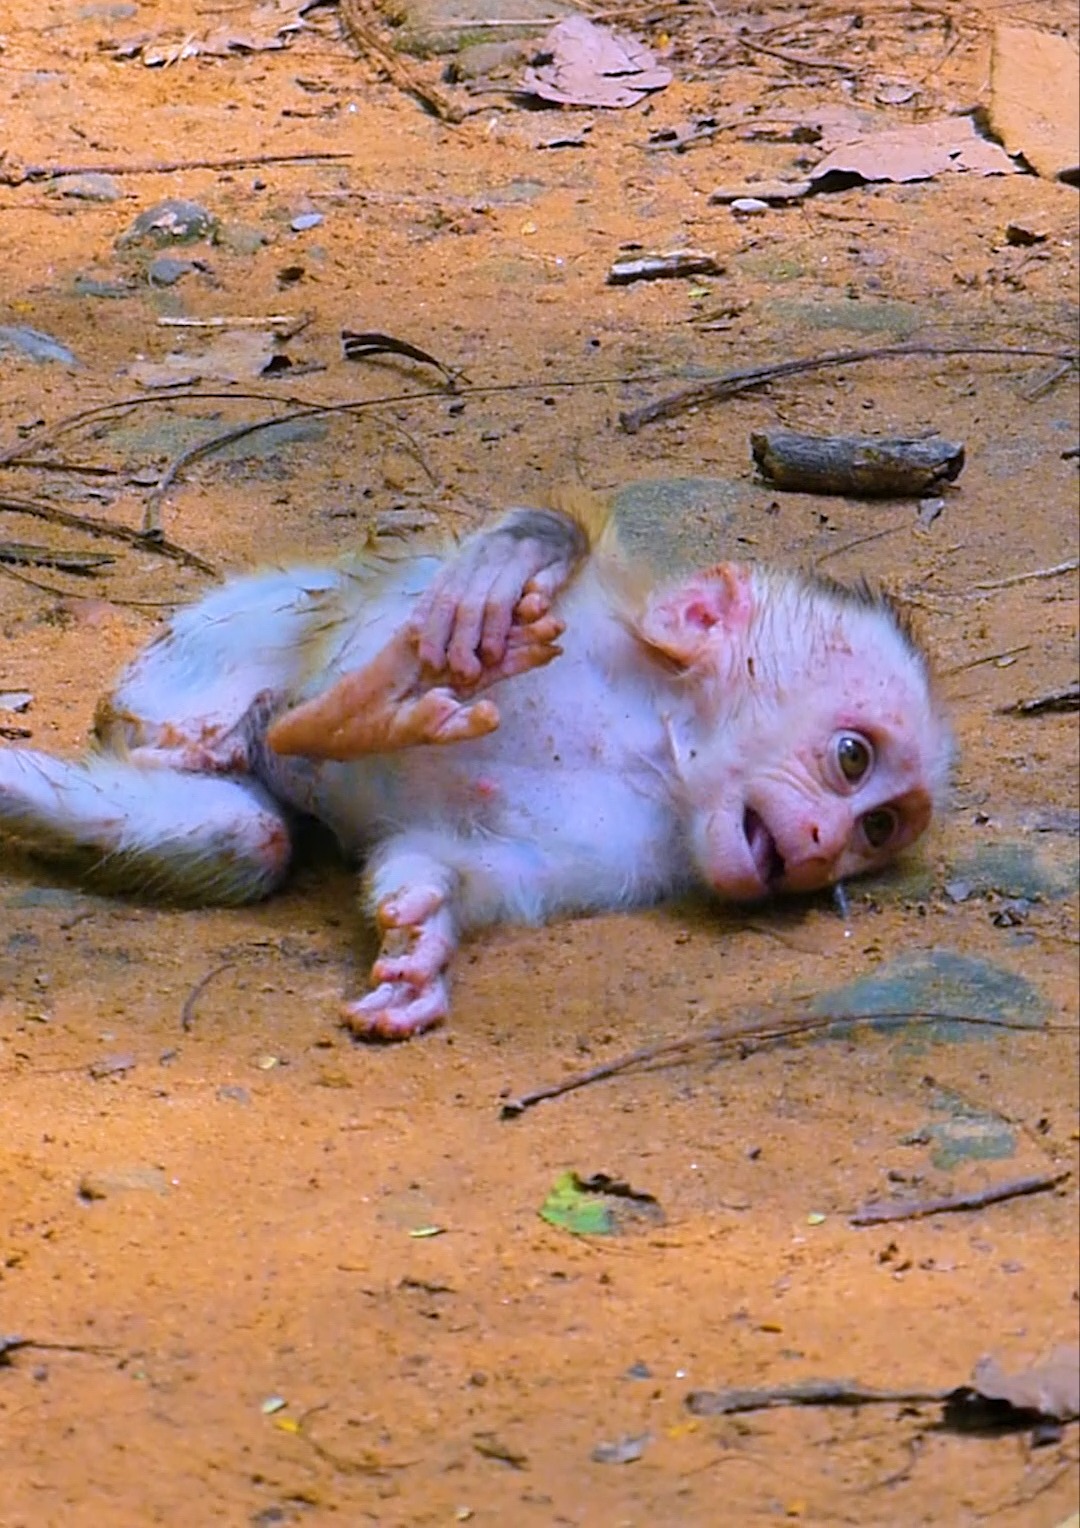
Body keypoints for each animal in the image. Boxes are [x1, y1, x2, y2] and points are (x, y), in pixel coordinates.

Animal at [0, 496, 952, 1040]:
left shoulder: (642, 852)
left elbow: (453, 865)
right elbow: (459, 579)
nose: (825, 845)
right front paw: (519, 554)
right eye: (852, 757)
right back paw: (339, 709)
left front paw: (421, 938)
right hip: (191, 657)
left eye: (875, 829)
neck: (649, 752)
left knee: (248, 837)